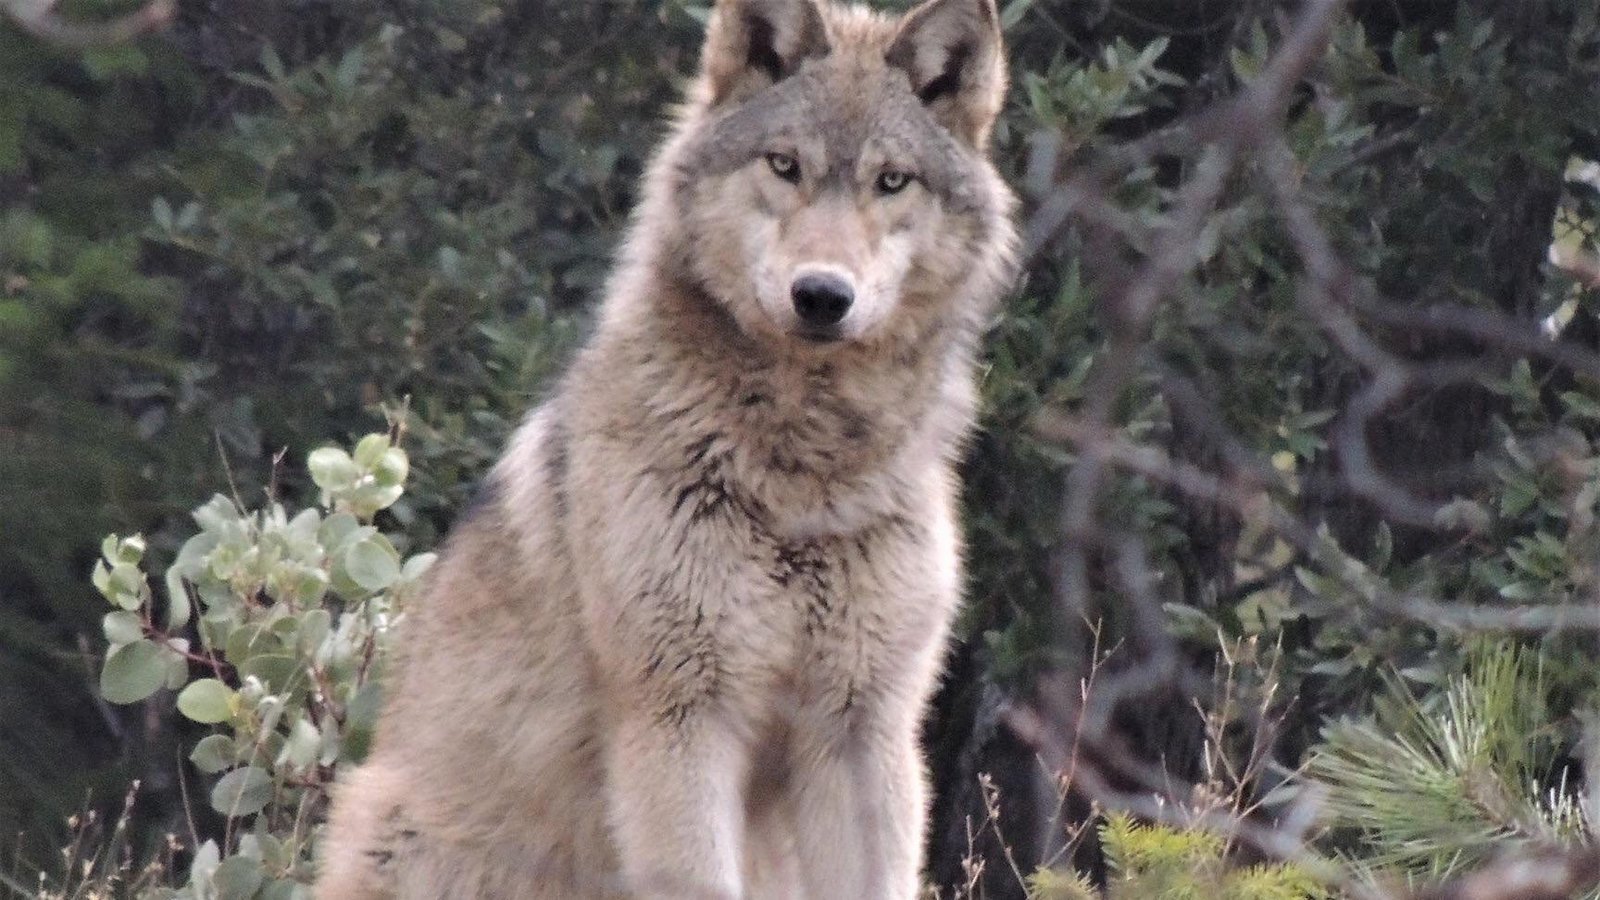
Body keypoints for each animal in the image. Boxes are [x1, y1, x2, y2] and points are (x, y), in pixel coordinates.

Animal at [315, 0, 1018, 896]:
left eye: (892, 180)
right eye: (784, 165)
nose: (822, 295)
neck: (800, 475)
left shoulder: (863, 730)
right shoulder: (681, 715)